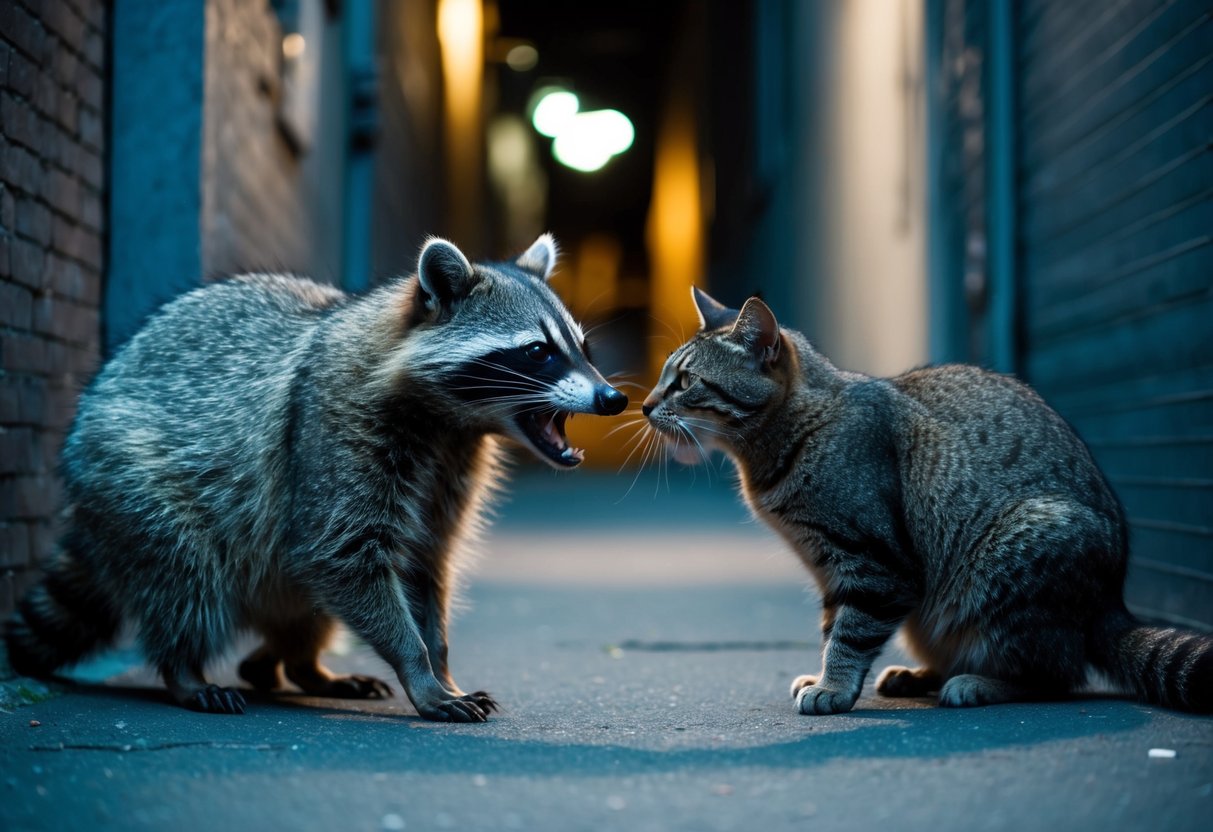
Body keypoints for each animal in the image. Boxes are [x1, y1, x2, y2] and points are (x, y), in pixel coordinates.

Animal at [5, 235, 627, 721]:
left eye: (583, 348)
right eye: (538, 351)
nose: (613, 398)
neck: (452, 423)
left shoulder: (450, 473)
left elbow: (424, 564)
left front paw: (441, 665)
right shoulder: (333, 430)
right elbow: (340, 553)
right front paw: (419, 669)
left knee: (300, 607)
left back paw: (299, 664)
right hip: (125, 475)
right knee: (183, 570)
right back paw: (186, 669)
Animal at [641, 287, 1211, 713]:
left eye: (685, 382)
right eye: (665, 377)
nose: (645, 404)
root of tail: (1113, 604)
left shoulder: (874, 564)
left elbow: (849, 633)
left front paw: (833, 686)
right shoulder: (834, 571)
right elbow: (833, 627)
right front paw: (827, 677)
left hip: (1014, 559)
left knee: (1057, 673)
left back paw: (977, 683)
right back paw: (919, 675)